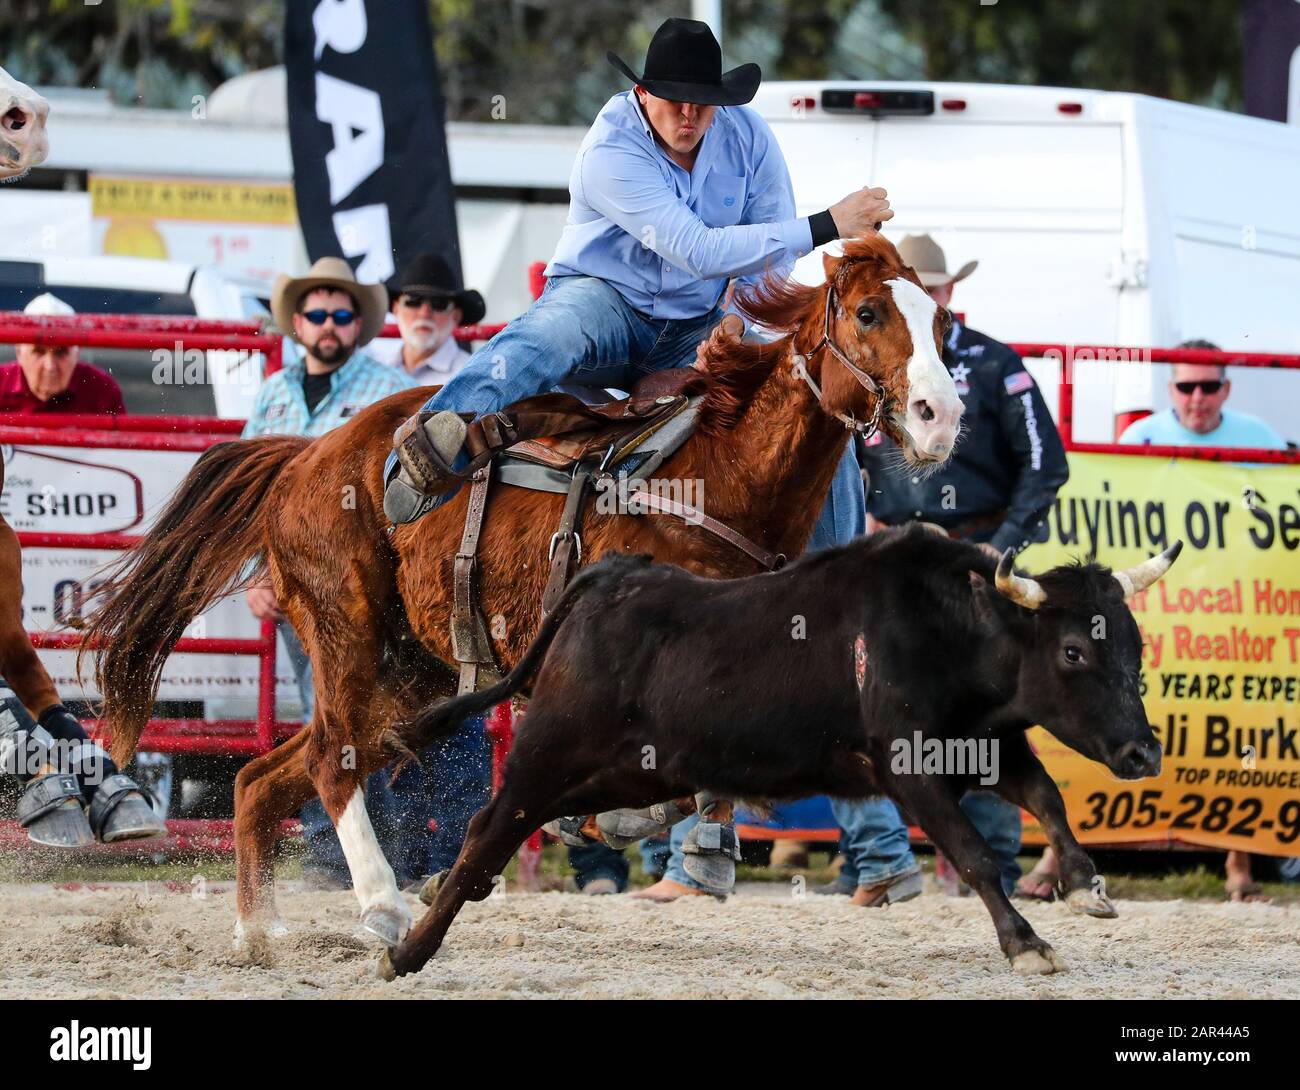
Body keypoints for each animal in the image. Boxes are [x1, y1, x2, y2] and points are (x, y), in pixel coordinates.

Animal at [86, 236, 967, 946]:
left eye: (942, 326)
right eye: (867, 312)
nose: (941, 416)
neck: (716, 482)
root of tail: (306, 455)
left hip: (412, 682)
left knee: (261, 779)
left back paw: (257, 933)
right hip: (347, 632)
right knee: (331, 763)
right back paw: (381, 907)